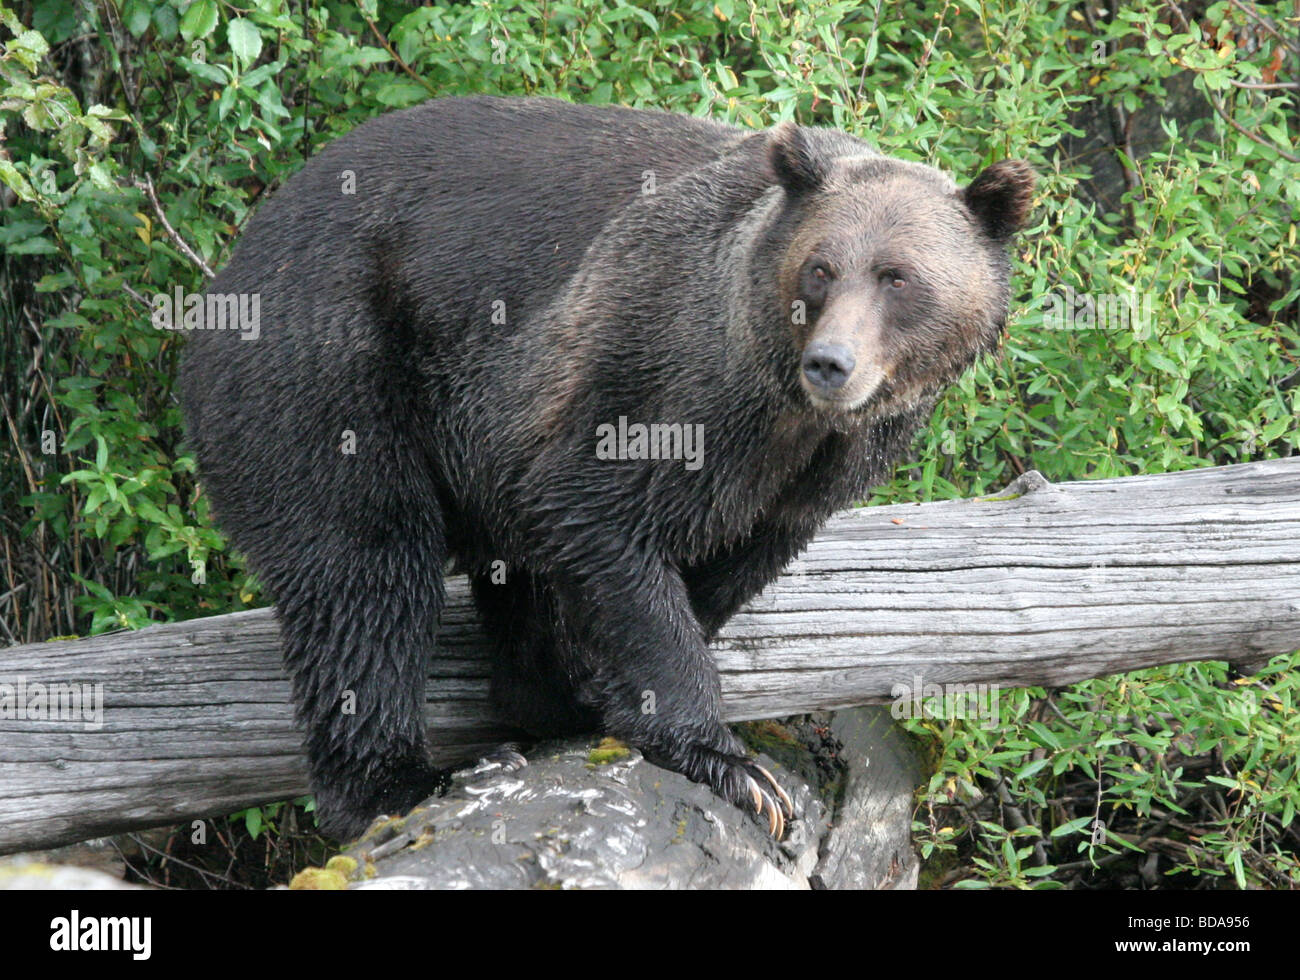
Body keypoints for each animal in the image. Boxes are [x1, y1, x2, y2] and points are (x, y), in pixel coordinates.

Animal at [180, 95, 1034, 841]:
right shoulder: (656, 371)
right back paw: (392, 782)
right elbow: (600, 519)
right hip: (335, 365)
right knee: (362, 569)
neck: (785, 415)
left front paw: (590, 689)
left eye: (899, 277)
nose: (832, 363)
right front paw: (731, 765)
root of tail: (229, 269)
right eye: (821, 268)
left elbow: (728, 562)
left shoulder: (815, 475)